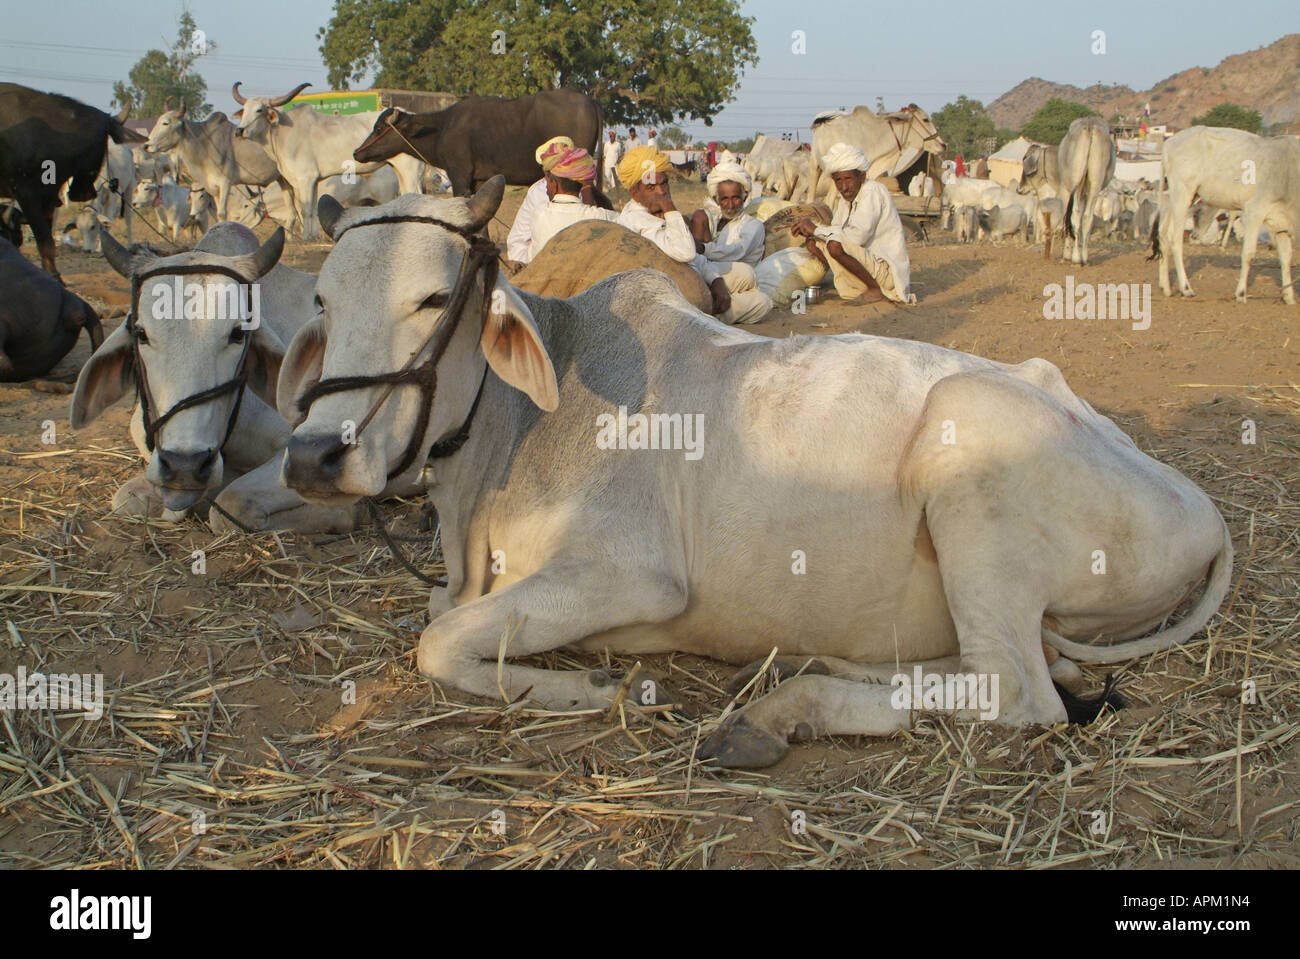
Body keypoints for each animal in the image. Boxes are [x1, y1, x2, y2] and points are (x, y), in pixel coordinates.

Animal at [0, 82, 144, 281]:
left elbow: (48, 241)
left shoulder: (49, 198)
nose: (84, 193)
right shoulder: (27, 195)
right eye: (99, 144)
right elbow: (45, 241)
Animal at [231, 83, 430, 239]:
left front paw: (306, 237)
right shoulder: (309, 181)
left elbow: (305, 209)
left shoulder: (305, 179)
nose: (239, 131)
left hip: (411, 170)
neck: (281, 133)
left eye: (259, 110)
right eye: (244, 111)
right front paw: (312, 236)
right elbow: (310, 209)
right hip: (400, 171)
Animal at [274, 180, 1233, 769]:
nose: (313, 457)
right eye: (319, 298)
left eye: (434, 299)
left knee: (1017, 689)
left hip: (969, 445)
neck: (517, 434)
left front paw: (594, 686)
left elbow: (438, 641)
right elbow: (442, 620)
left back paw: (781, 710)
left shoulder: (632, 574)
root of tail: (1205, 511)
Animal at [351, 88, 603, 197]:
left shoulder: (459, 178)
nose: (356, 152)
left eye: (379, 128)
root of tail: (590, 102)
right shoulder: (479, 181)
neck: (443, 127)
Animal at [1153, 126, 1297, 304]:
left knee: (1163, 233)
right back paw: (1186, 288)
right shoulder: (1254, 212)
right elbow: (1249, 254)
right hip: (1182, 194)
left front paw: (1289, 297)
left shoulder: (1281, 224)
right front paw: (1241, 294)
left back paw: (1165, 287)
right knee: (1175, 240)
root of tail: (1169, 142)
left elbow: (1286, 258)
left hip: (1182, 199)